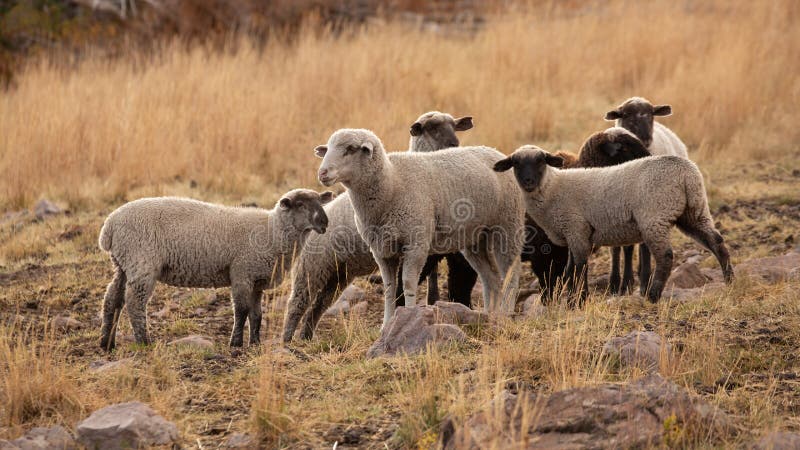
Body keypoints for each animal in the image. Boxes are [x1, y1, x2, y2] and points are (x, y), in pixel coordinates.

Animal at [98, 189, 335, 350]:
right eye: (301, 204)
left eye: (319, 202)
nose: (324, 222)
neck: (272, 231)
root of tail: (109, 226)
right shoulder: (241, 272)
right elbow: (241, 311)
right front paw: (236, 343)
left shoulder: (257, 280)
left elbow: (257, 315)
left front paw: (255, 343)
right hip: (141, 262)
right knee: (134, 302)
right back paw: (144, 342)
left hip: (123, 263)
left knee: (112, 300)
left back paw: (106, 343)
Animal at [282, 112, 474, 342]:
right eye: (432, 129)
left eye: (454, 126)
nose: (454, 144)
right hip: (311, 266)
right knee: (297, 303)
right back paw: (287, 341)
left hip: (338, 273)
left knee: (319, 304)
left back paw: (306, 337)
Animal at [316, 129, 526, 327]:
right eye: (328, 148)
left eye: (350, 149)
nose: (322, 173)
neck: (392, 184)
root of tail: (497, 152)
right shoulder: (382, 251)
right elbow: (390, 289)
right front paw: (386, 325)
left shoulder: (416, 244)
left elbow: (408, 284)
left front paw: (408, 317)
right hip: (475, 237)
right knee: (491, 278)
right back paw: (491, 316)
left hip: (507, 225)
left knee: (511, 275)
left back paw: (506, 313)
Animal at [494, 146, 733, 304]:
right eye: (515, 163)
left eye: (541, 161)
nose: (528, 182)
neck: (552, 189)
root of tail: (686, 172)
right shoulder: (572, 235)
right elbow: (571, 269)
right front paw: (573, 299)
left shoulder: (577, 228)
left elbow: (579, 267)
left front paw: (579, 300)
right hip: (694, 211)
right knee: (716, 241)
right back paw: (730, 280)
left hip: (654, 216)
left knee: (665, 256)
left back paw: (653, 296)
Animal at [605, 97, 689, 295]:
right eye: (626, 115)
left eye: (651, 114)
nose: (646, 139)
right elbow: (619, 248)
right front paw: (616, 284)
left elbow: (640, 247)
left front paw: (640, 282)